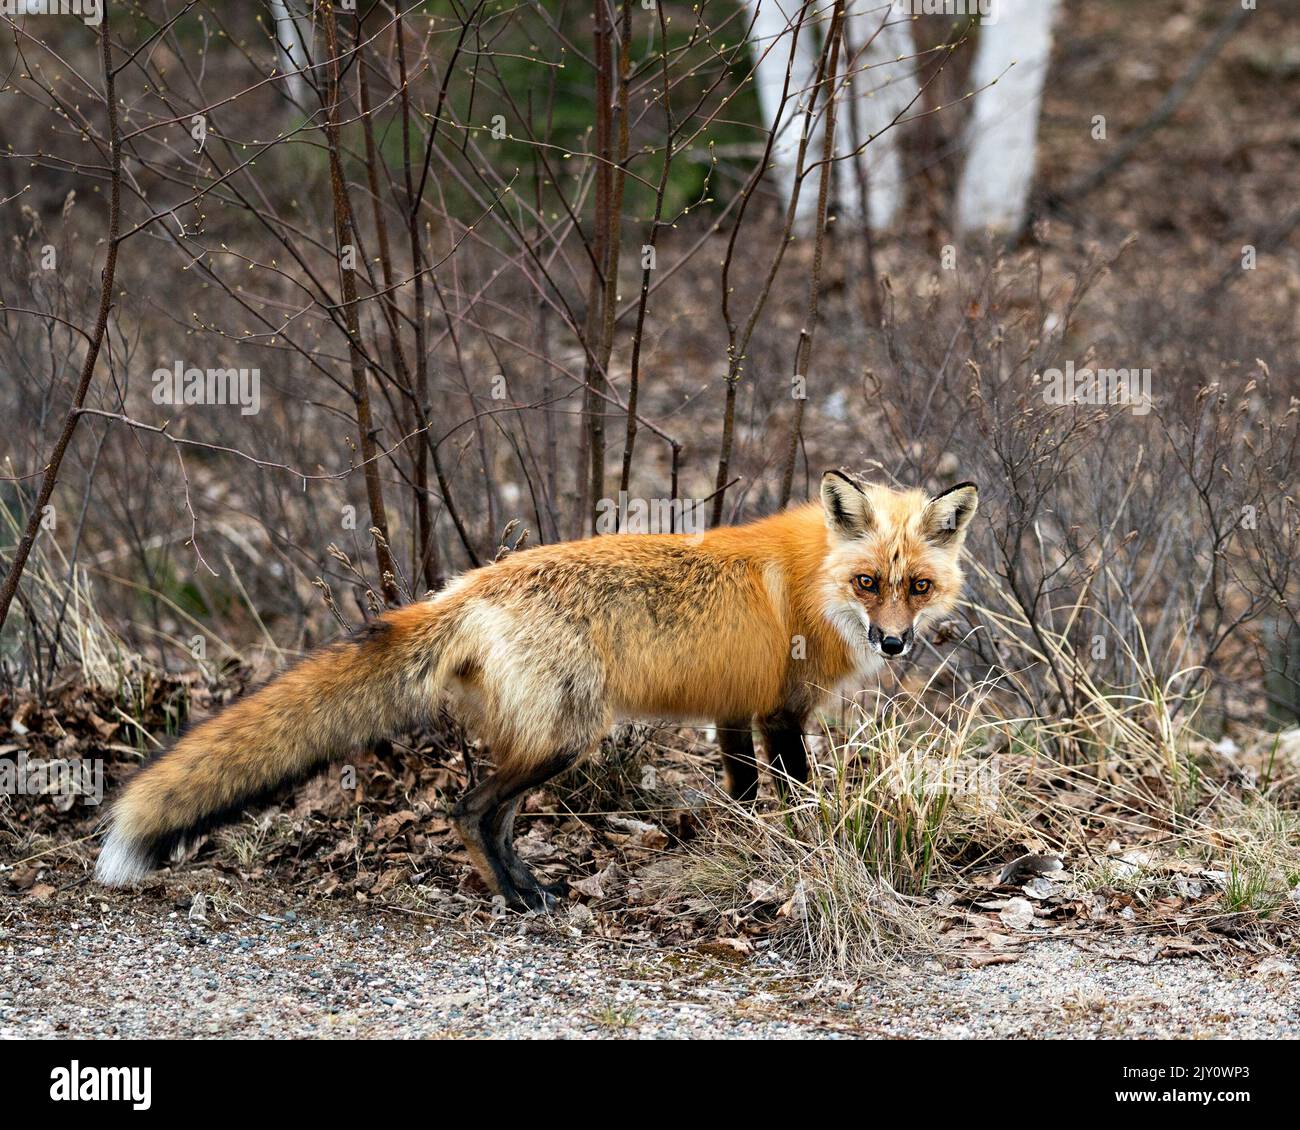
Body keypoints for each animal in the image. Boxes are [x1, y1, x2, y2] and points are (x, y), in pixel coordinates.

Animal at [94, 471, 977, 911]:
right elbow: (795, 796)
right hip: (566, 739)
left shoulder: (736, 710)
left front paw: (749, 849)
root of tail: (465, 587)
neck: (812, 581)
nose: (894, 642)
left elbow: (744, 792)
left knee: (496, 819)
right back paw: (517, 902)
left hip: (541, 738)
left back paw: (527, 888)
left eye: (917, 586)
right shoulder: (783, 710)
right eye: (868, 583)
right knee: (469, 809)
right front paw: (807, 852)